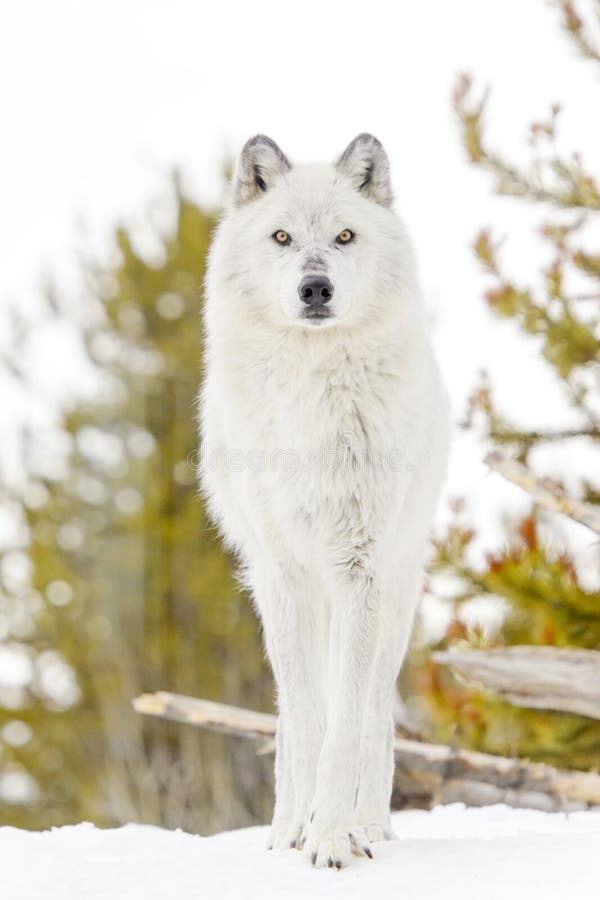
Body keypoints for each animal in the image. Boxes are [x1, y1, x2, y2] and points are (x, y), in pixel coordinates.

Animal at [199, 134, 449, 869]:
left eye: (344, 237)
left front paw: (335, 840)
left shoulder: (357, 570)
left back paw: (370, 828)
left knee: (372, 720)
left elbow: (345, 729)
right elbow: (307, 725)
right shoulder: (283, 574)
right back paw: (291, 823)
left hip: (391, 602)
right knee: (292, 716)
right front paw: (296, 835)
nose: (316, 288)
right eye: (282, 237)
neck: (311, 400)